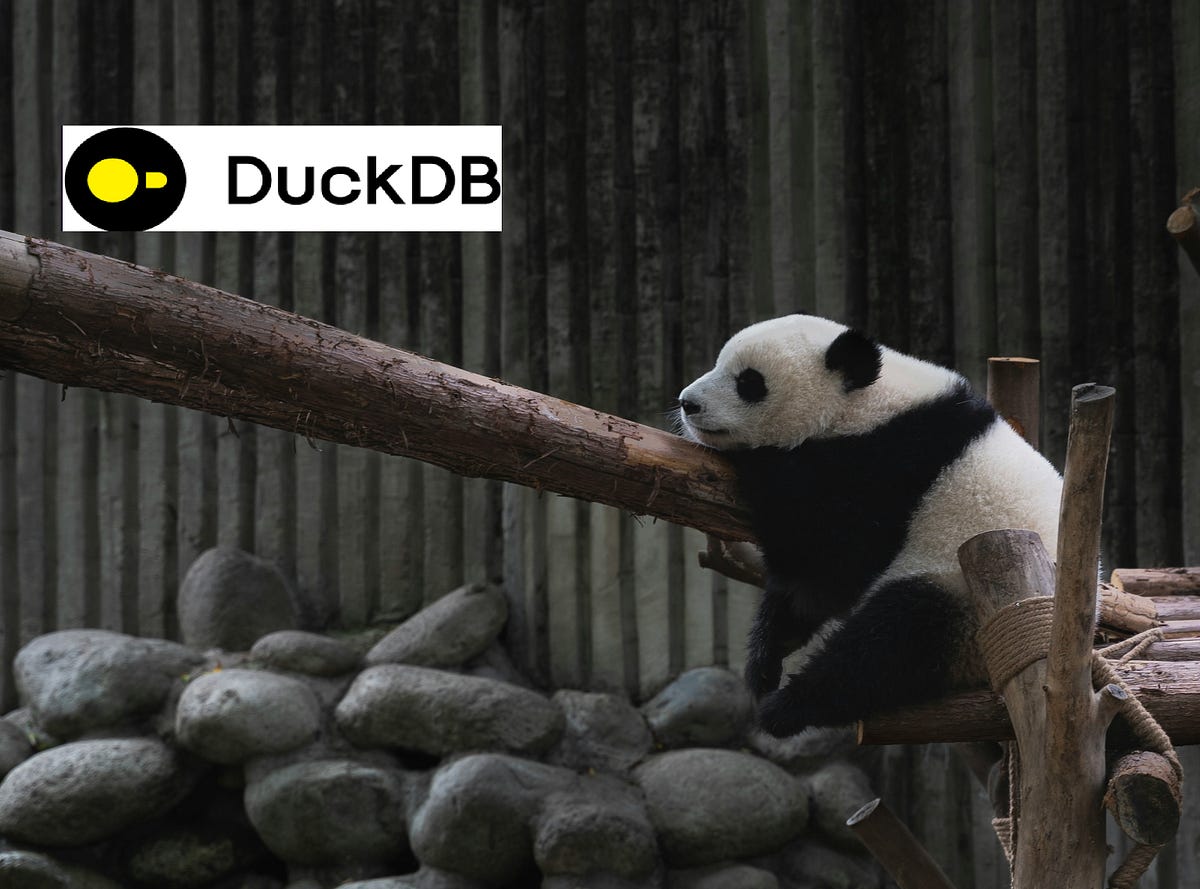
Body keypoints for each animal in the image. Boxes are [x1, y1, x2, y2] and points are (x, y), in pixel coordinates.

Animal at [676, 314, 1063, 736]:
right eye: (718, 363)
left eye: (748, 382)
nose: (687, 403)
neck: (868, 404)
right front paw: (767, 656)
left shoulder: (894, 465)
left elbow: (829, 561)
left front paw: (761, 461)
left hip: (958, 592)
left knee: (891, 642)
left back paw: (788, 708)